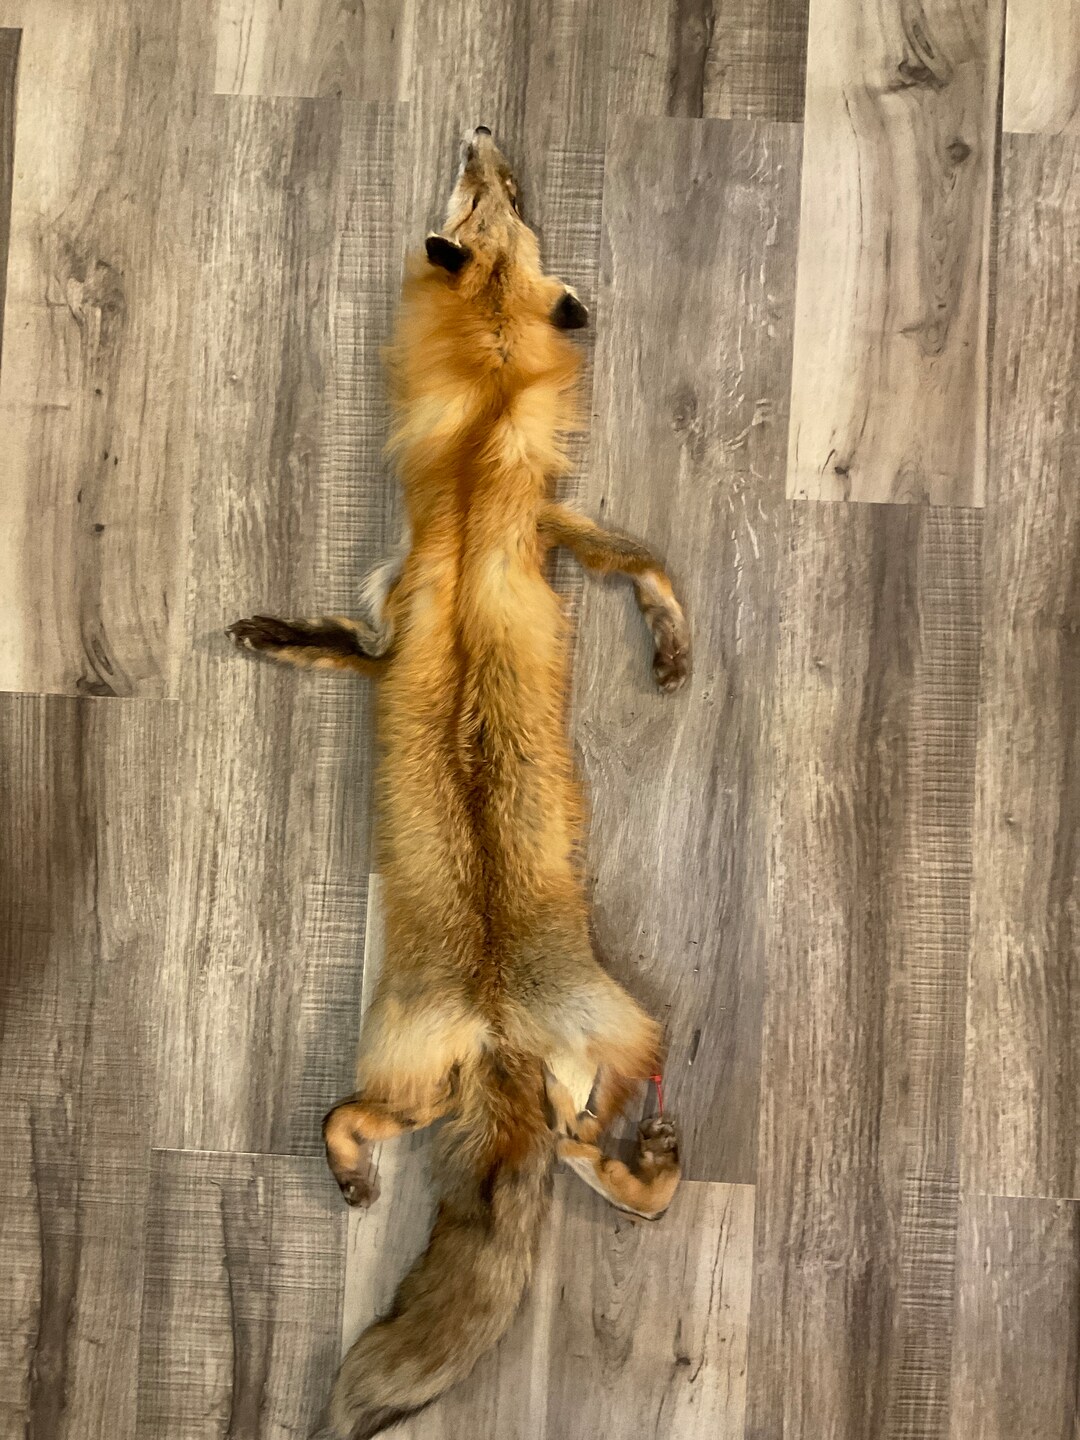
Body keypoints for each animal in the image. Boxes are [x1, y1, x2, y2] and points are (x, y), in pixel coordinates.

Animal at [229, 127, 691, 1440]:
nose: (486, 131)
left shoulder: (403, 596)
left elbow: (350, 646)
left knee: (348, 1115)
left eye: (495, 203)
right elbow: (643, 561)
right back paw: (652, 1168)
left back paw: (346, 1168)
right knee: (593, 1169)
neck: (483, 444)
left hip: (403, 1059)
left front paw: (278, 640)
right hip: (547, 1073)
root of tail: (499, 1034)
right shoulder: (548, 525)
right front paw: (671, 643)